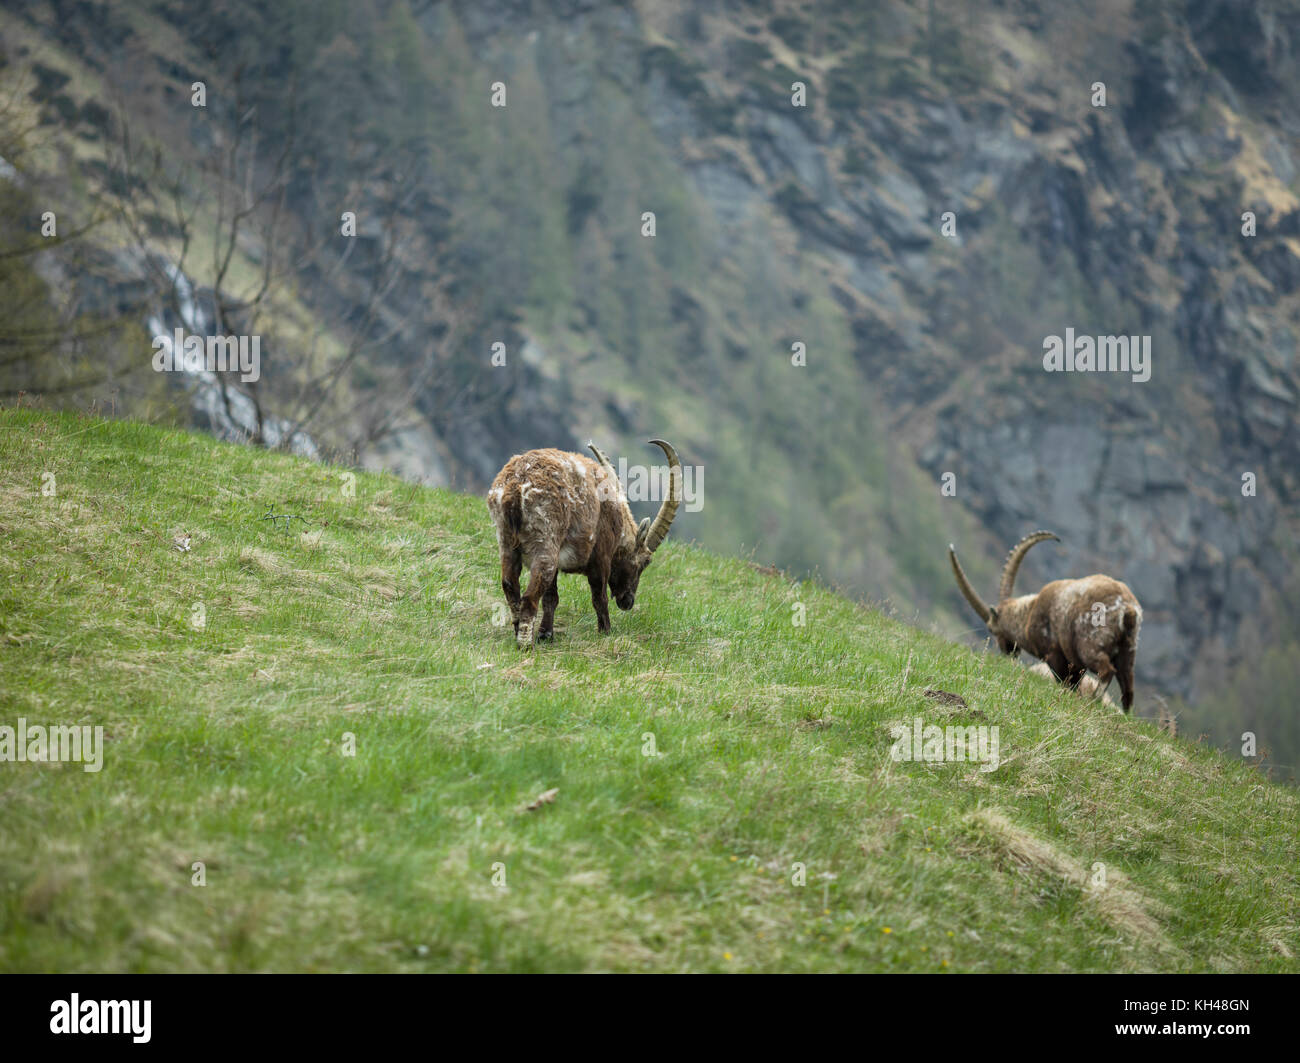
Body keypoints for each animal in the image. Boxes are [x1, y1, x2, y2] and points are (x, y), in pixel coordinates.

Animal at [487, 439, 681, 648]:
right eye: (644, 562)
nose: (628, 602)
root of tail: (515, 487)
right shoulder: (601, 555)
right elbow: (599, 597)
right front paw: (606, 632)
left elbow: (551, 597)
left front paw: (546, 635)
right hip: (545, 540)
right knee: (530, 596)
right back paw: (525, 645)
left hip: (506, 540)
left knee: (510, 584)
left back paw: (518, 634)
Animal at [949, 531, 1142, 712]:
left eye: (993, 629)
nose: (1008, 652)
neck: (1030, 612)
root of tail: (1128, 608)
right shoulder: (1075, 664)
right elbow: (1074, 684)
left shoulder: (1054, 654)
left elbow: (1065, 682)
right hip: (1128, 651)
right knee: (1128, 688)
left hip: (1091, 644)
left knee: (1106, 670)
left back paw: (1093, 701)